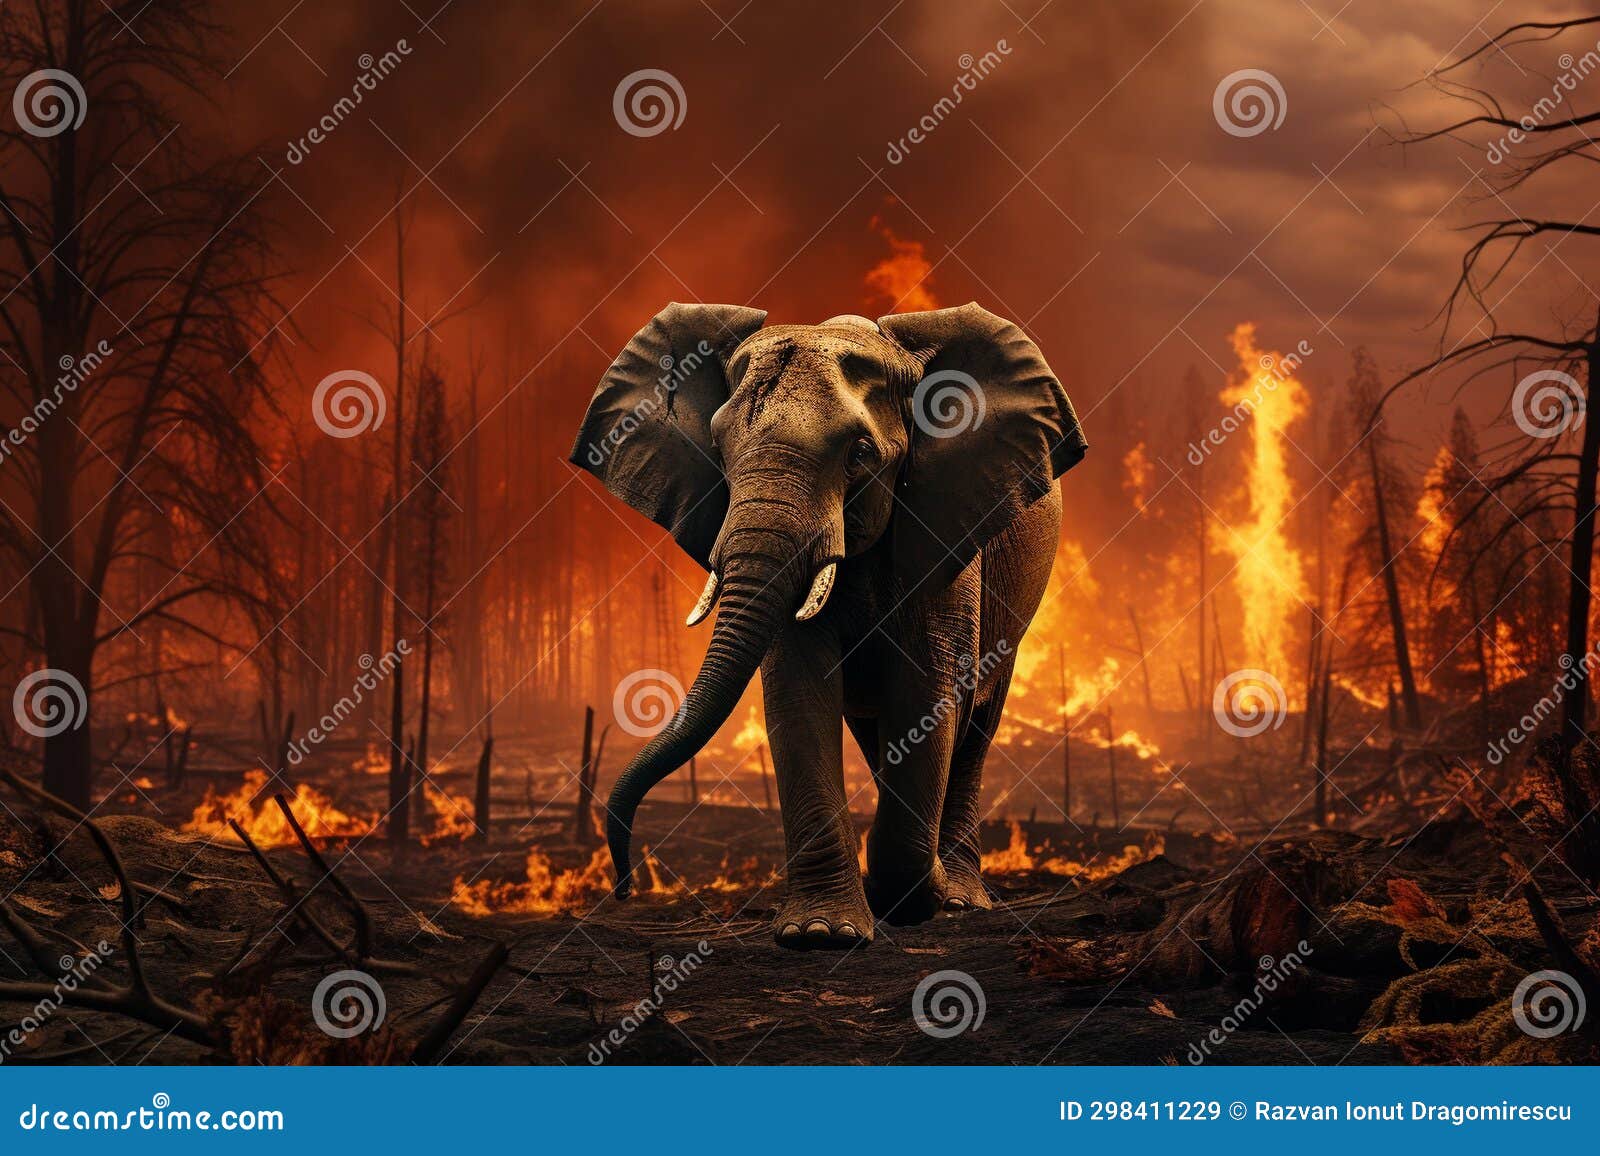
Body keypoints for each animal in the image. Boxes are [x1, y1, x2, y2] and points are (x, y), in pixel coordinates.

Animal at [570, 302, 1086, 949]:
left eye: (859, 453)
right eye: (716, 446)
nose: (624, 885)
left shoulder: (945, 525)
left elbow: (928, 691)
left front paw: (913, 898)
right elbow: (799, 691)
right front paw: (822, 933)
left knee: (977, 723)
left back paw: (960, 895)